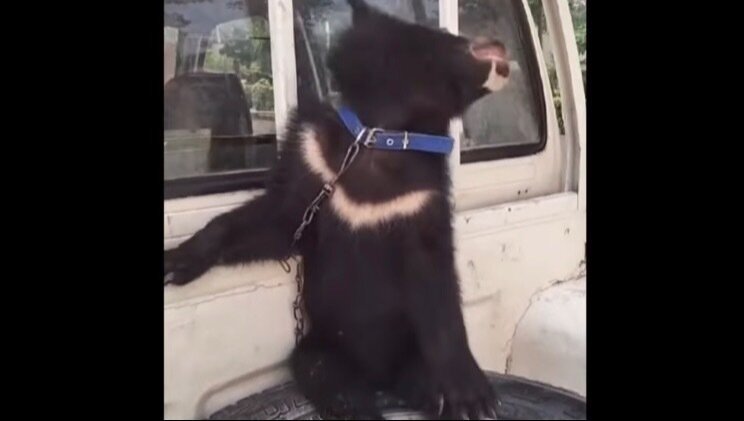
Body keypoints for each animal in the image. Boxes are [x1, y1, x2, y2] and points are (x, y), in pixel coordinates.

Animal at [164, 0, 510, 418]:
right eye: (443, 33)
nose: (499, 44)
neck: (381, 137)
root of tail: (379, 378)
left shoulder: (420, 203)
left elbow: (437, 283)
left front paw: (475, 395)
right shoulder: (312, 168)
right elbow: (273, 224)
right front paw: (176, 261)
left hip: (412, 353)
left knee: (424, 380)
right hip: (321, 351)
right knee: (332, 384)